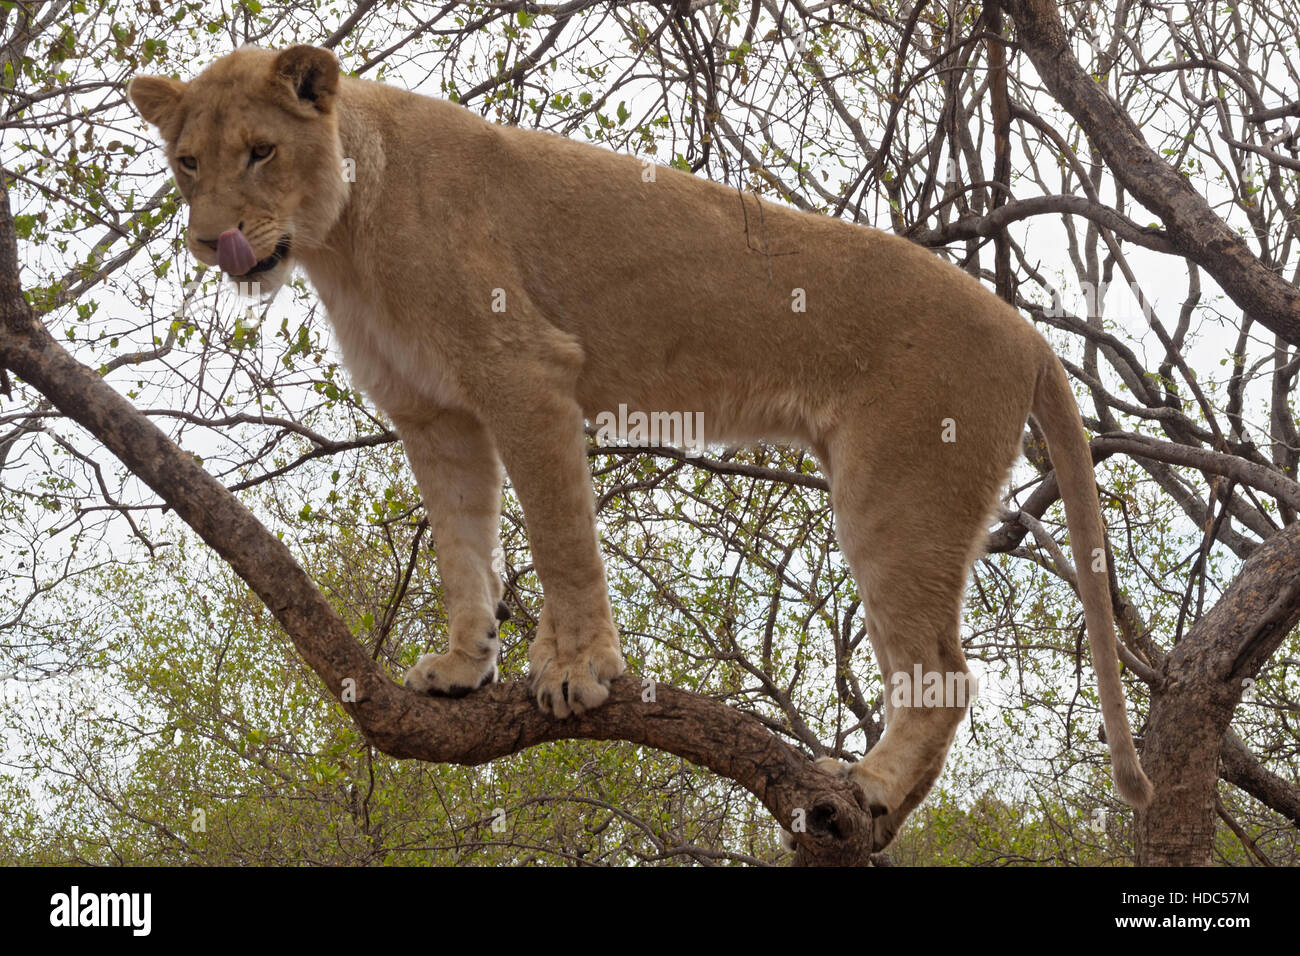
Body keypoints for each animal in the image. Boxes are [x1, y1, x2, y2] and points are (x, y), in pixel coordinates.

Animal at [129, 44, 1154, 853]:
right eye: (186, 163)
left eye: (262, 152)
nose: (210, 240)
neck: (342, 238)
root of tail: (1028, 334)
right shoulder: (435, 415)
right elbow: (463, 548)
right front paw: (465, 666)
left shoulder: (526, 373)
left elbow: (559, 538)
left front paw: (578, 672)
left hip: (899, 489)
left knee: (944, 676)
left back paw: (862, 787)